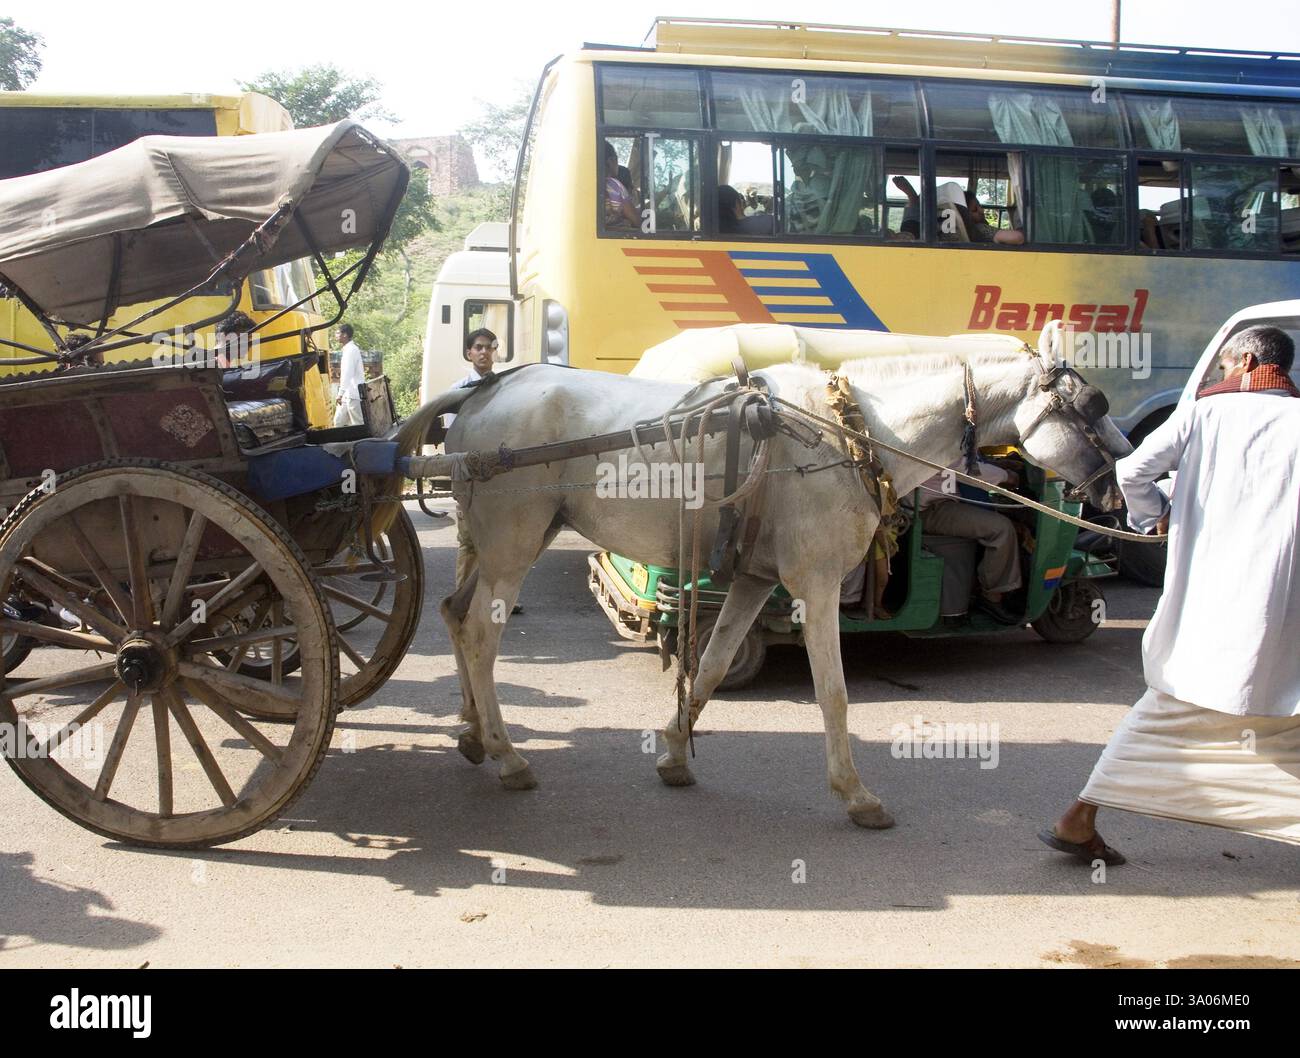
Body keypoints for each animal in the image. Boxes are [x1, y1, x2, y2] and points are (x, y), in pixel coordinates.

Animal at [385, 329, 1131, 829]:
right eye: (1091, 407)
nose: (1114, 500)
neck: (849, 430)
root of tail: (486, 388)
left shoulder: (750, 579)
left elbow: (712, 665)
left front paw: (676, 755)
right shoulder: (817, 584)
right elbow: (833, 693)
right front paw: (854, 792)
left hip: (494, 543)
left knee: (453, 613)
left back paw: (473, 732)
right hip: (511, 547)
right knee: (479, 634)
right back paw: (507, 754)